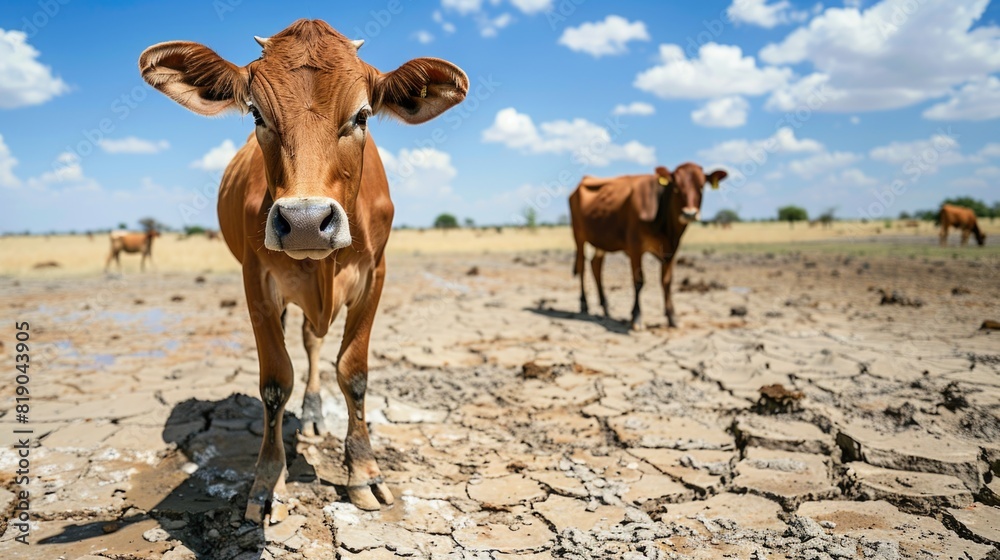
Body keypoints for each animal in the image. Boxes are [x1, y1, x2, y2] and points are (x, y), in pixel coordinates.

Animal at [140, 19, 467, 522]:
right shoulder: (256, 282)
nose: (307, 221)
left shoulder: (375, 276)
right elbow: (276, 382)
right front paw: (266, 480)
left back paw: (313, 414)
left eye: (363, 116)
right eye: (256, 115)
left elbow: (353, 373)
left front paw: (364, 472)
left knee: (314, 345)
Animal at [570, 163, 726, 330]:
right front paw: (637, 316)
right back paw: (584, 304)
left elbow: (667, 282)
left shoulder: (672, 250)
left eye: (701, 187)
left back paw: (605, 306)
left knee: (596, 265)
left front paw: (672, 317)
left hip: (601, 240)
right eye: (676, 187)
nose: (689, 213)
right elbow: (639, 281)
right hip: (579, 235)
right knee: (582, 266)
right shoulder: (635, 248)